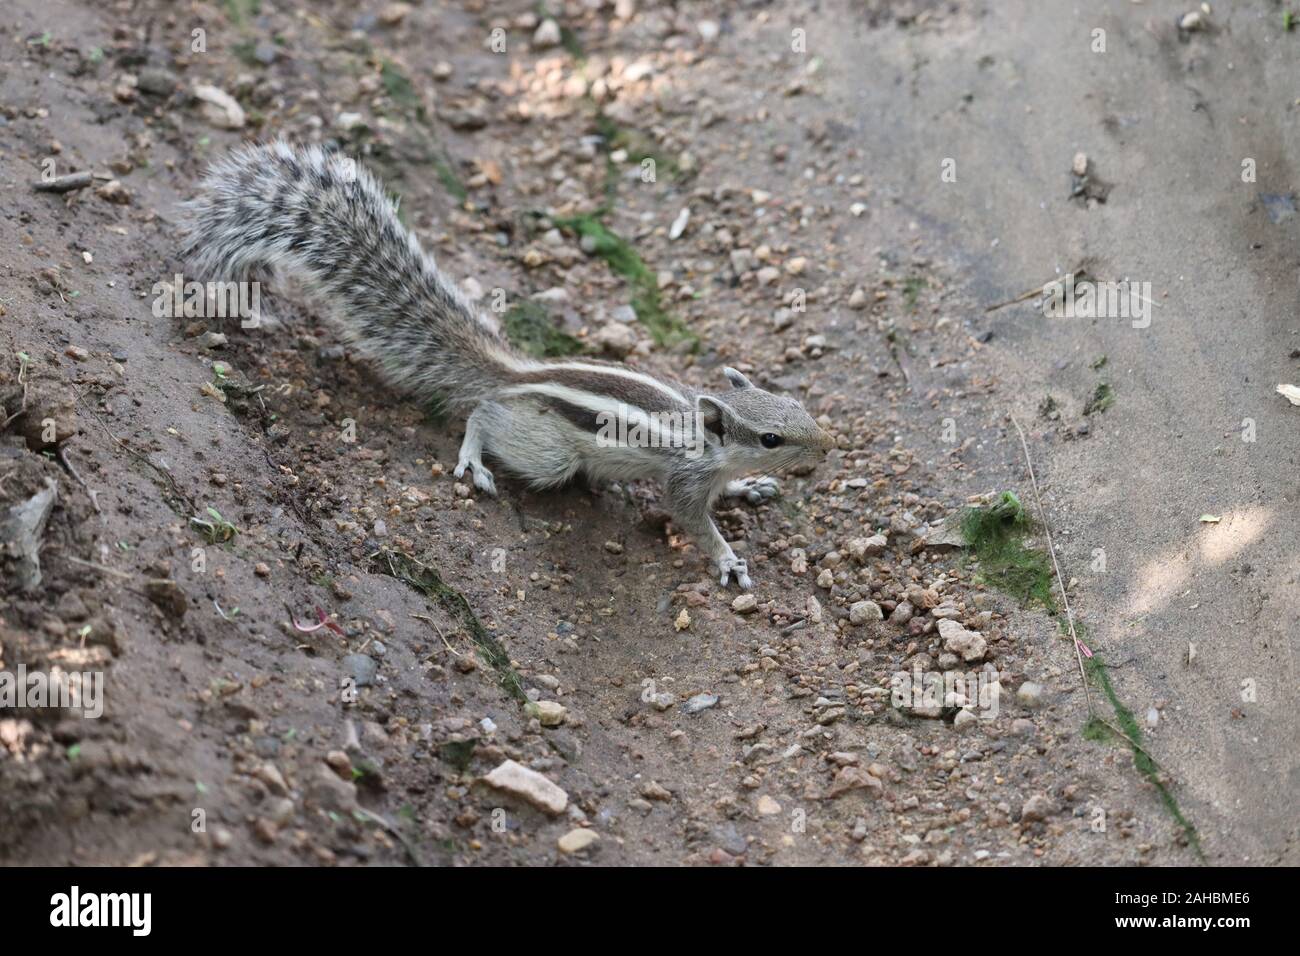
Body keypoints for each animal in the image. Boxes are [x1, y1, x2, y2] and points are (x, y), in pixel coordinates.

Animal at [181, 142, 834, 588]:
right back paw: (474, 458)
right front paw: (728, 560)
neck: (705, 441)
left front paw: (750, 487)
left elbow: (733, 489)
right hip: (549, 454)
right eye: (772, 437)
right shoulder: (684, 483)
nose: (829, 447)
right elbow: (695, 524)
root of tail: (520, 376)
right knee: (484, 413)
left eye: (795, 405)